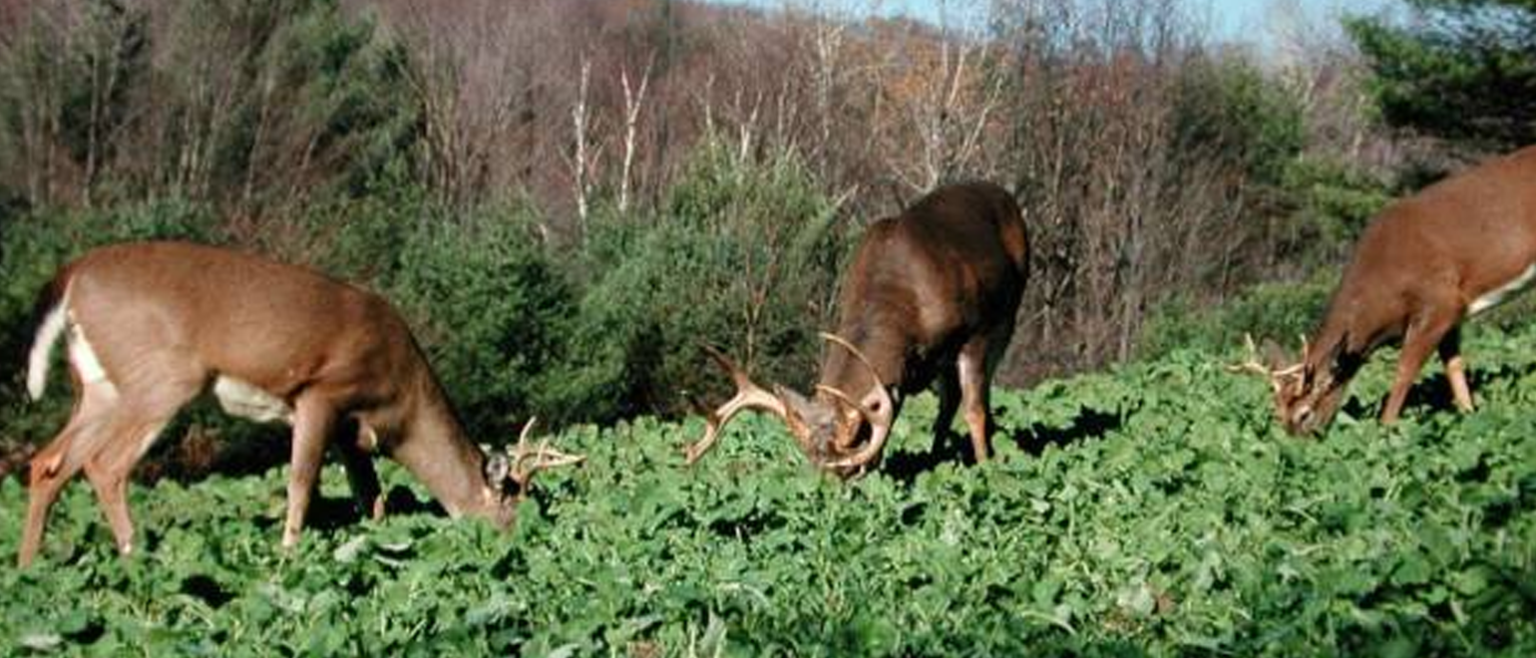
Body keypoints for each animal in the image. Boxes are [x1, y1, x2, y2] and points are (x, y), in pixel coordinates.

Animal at [17, 241, 582, 567]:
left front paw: (381, 545)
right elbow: (300, 483)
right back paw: (136, 557)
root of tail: (71, 278)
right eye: (509, 505)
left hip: (100, 386)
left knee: (48, 462)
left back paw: (28, 567)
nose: (518, 545)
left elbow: (372, 498)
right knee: (105, 465)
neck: (402, 407)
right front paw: (288, 558)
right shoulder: (321, 393)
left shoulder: (354, 433)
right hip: (161, 377)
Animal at [684, 181, 1029, 475]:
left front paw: (986, 468)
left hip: (1008, 315)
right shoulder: (901, 371)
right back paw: (934, 458)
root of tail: (1006, 195)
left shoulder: (977, 333)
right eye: (814, 467)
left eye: (845, 469)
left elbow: (975, 409)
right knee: (948, 403)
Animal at [1237, 144, 1536, 435]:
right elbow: (1454, 369)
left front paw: (1386, 429)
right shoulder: (1451, 316)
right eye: (1278, 416)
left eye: (1304, 414)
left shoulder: (1441, 302)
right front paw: (1469, 414)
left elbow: (1403, 371)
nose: (1293, 444)